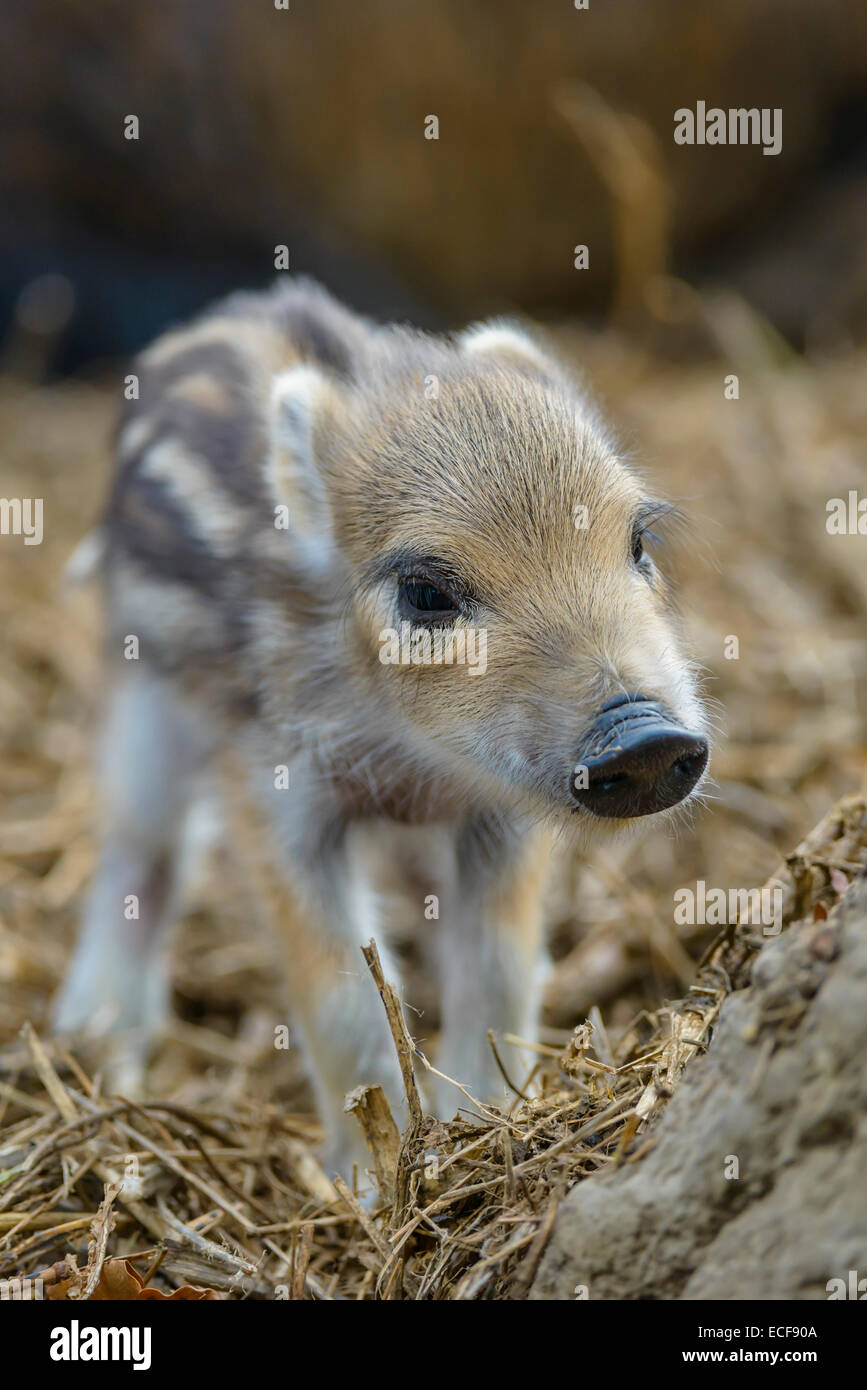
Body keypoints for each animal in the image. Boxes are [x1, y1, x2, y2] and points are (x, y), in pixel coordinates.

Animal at [53, 278, 709, 1180]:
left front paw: (481, 1120)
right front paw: (368, 1183)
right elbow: (339, 990)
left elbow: (498, 966)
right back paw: (92, 1034)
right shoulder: (276, 788)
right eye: (425, 591)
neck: (409, 745)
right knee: (141, 856)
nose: (644, 737)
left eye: (638, 540)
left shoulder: (497, 814)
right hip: (141, 703)